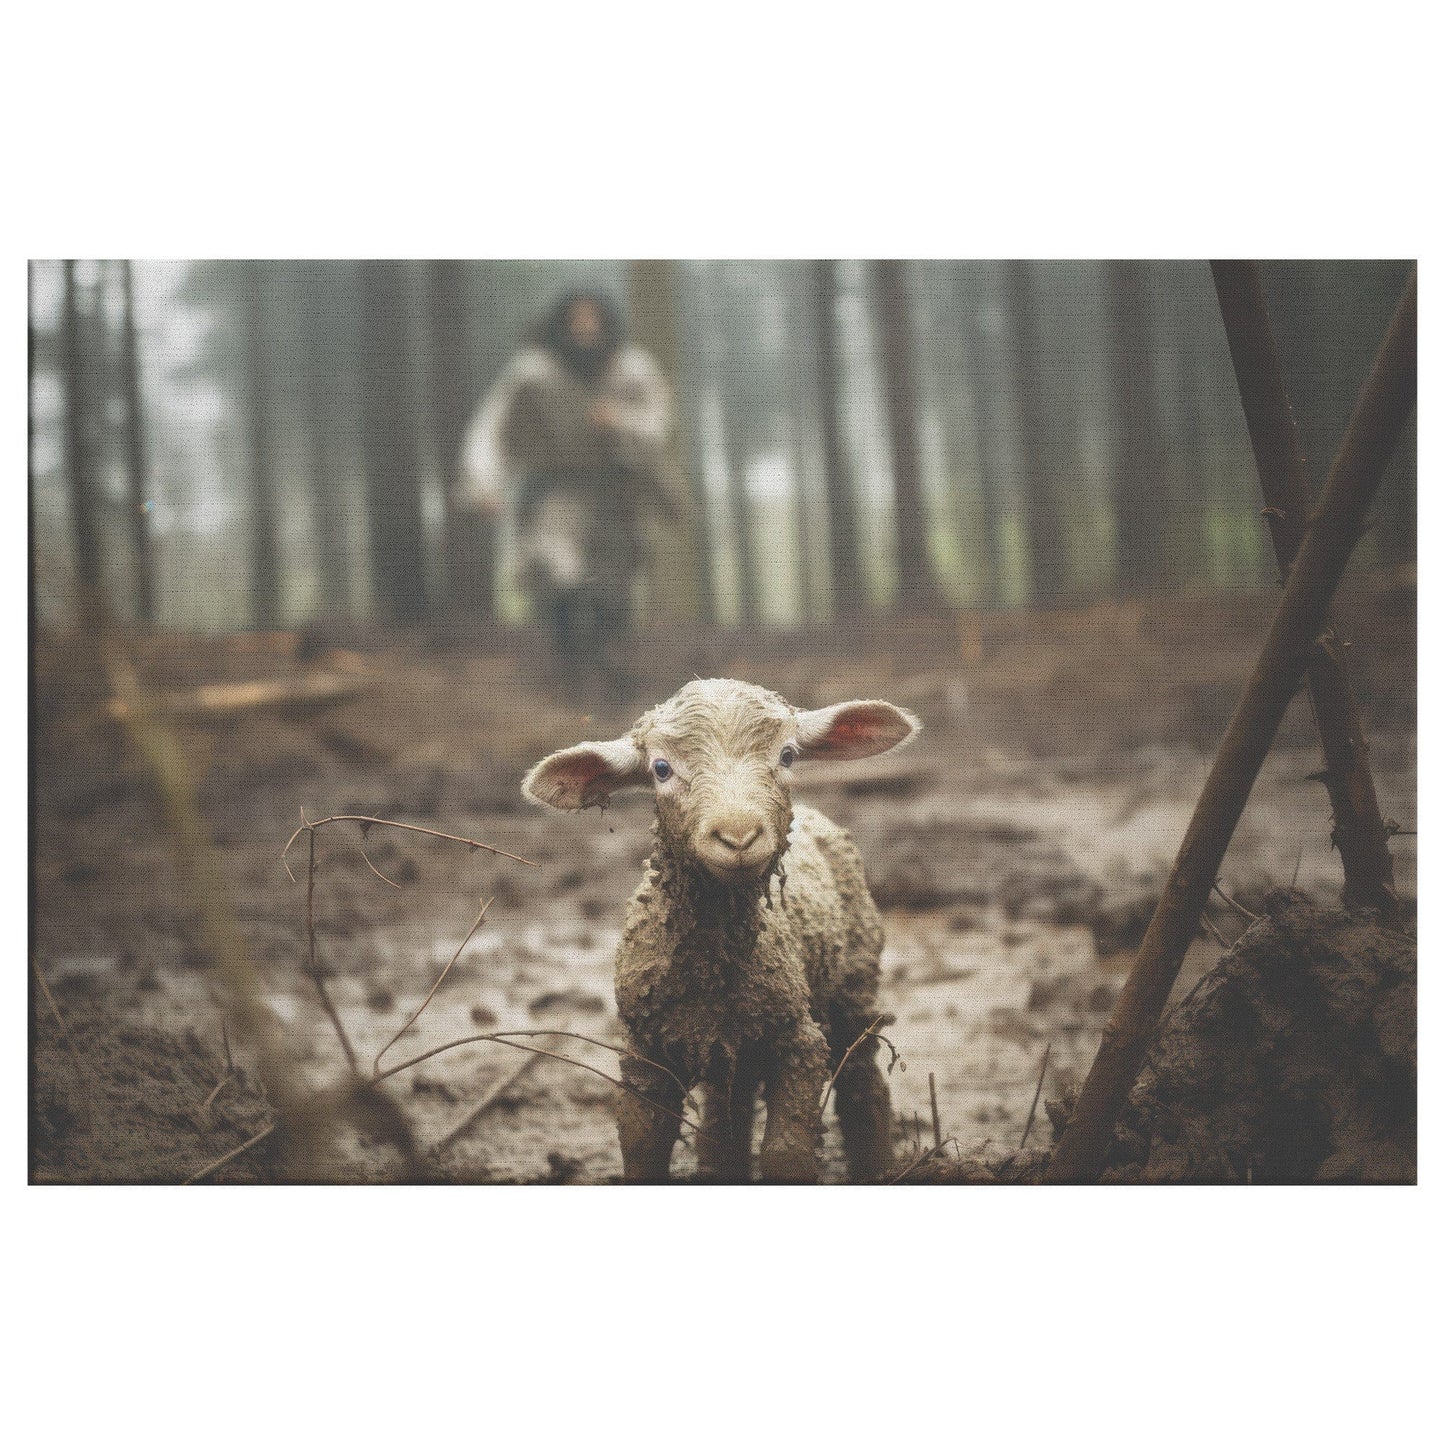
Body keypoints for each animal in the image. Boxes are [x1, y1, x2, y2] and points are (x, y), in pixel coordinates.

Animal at [522, 678, 919, 1182]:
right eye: (661, 768)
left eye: (787, 756)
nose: (738, 836)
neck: (712, 967)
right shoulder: (646, 1053)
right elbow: (641, 1145)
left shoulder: (798, 1041)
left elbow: (786, 1154)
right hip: (731, 1044)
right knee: (726, 1108)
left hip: (854, 979)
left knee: (861, 1076)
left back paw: (878, 1165)